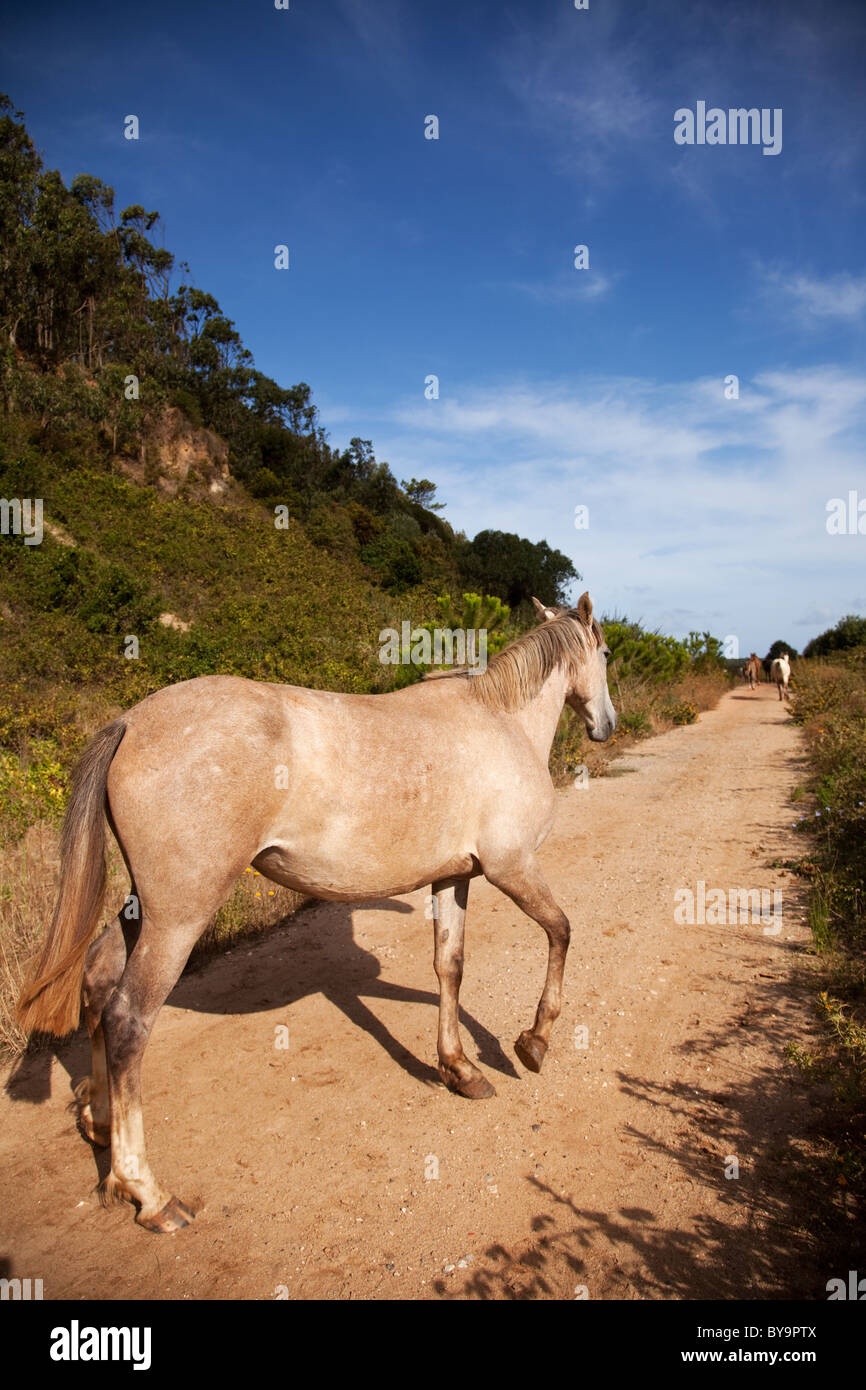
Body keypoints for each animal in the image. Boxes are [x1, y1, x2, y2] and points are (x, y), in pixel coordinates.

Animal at [17, 592, 616, 1233]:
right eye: (605, 653)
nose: (607, 726)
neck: (501, 721)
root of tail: (131, 722)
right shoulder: (513, 868)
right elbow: (561, 931)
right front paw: (533, 1042)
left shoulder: (454, 878)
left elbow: (449, 969)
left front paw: (460, 1070)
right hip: (179, 916)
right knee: (128, 1021)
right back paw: (149, 1194)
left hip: (144, 908)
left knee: (99, 980)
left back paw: (101, 1124)